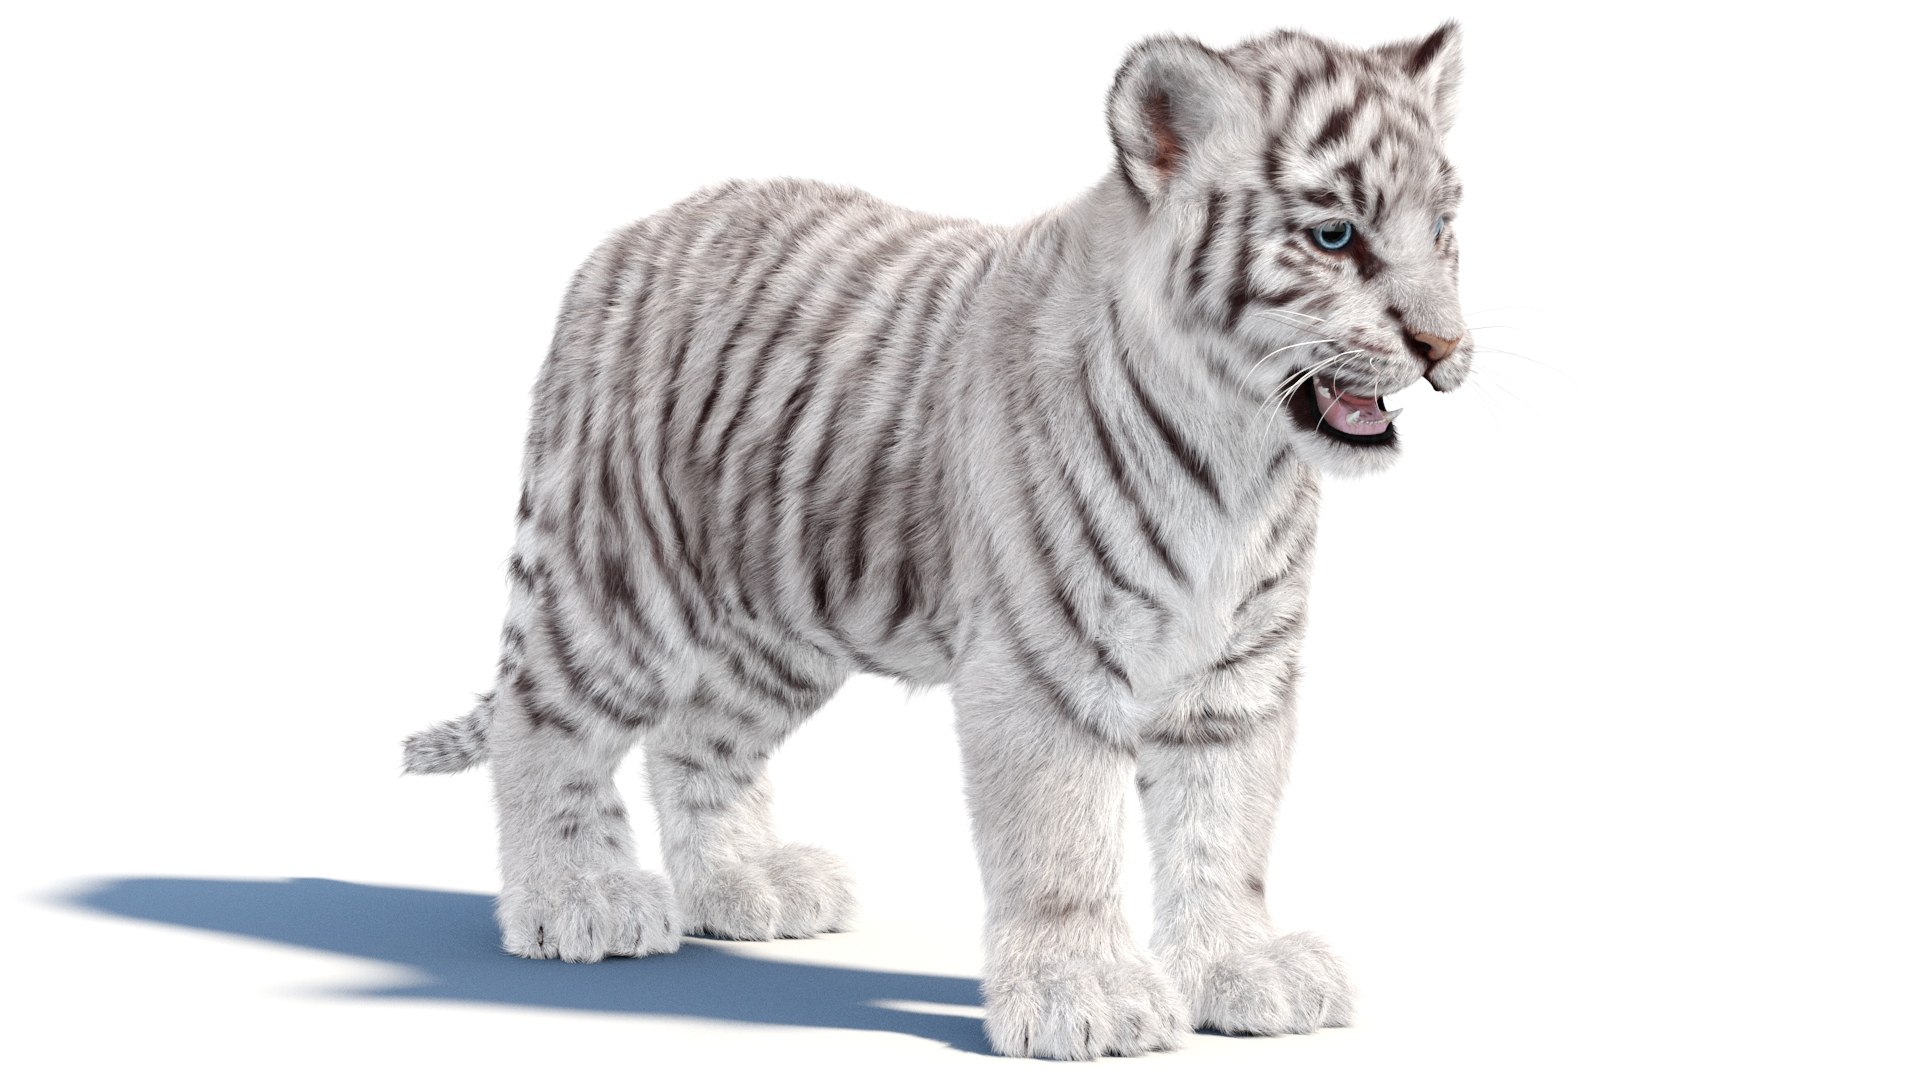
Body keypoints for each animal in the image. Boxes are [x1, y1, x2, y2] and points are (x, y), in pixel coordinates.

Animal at [403, 22, 1472, 1060]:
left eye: (1442, 229)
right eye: (1335, 236)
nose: (1445, 347)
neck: (1240, 456)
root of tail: (627, 239)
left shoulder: (1237, 676)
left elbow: (1226, 830)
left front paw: (1240, 972)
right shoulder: (1046, 666)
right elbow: (1062, 835)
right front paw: (1086, 996)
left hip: (777, 633)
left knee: (694, 742)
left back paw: (745, 888)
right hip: (616, 583)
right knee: (541, 725)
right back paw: (577, 903)